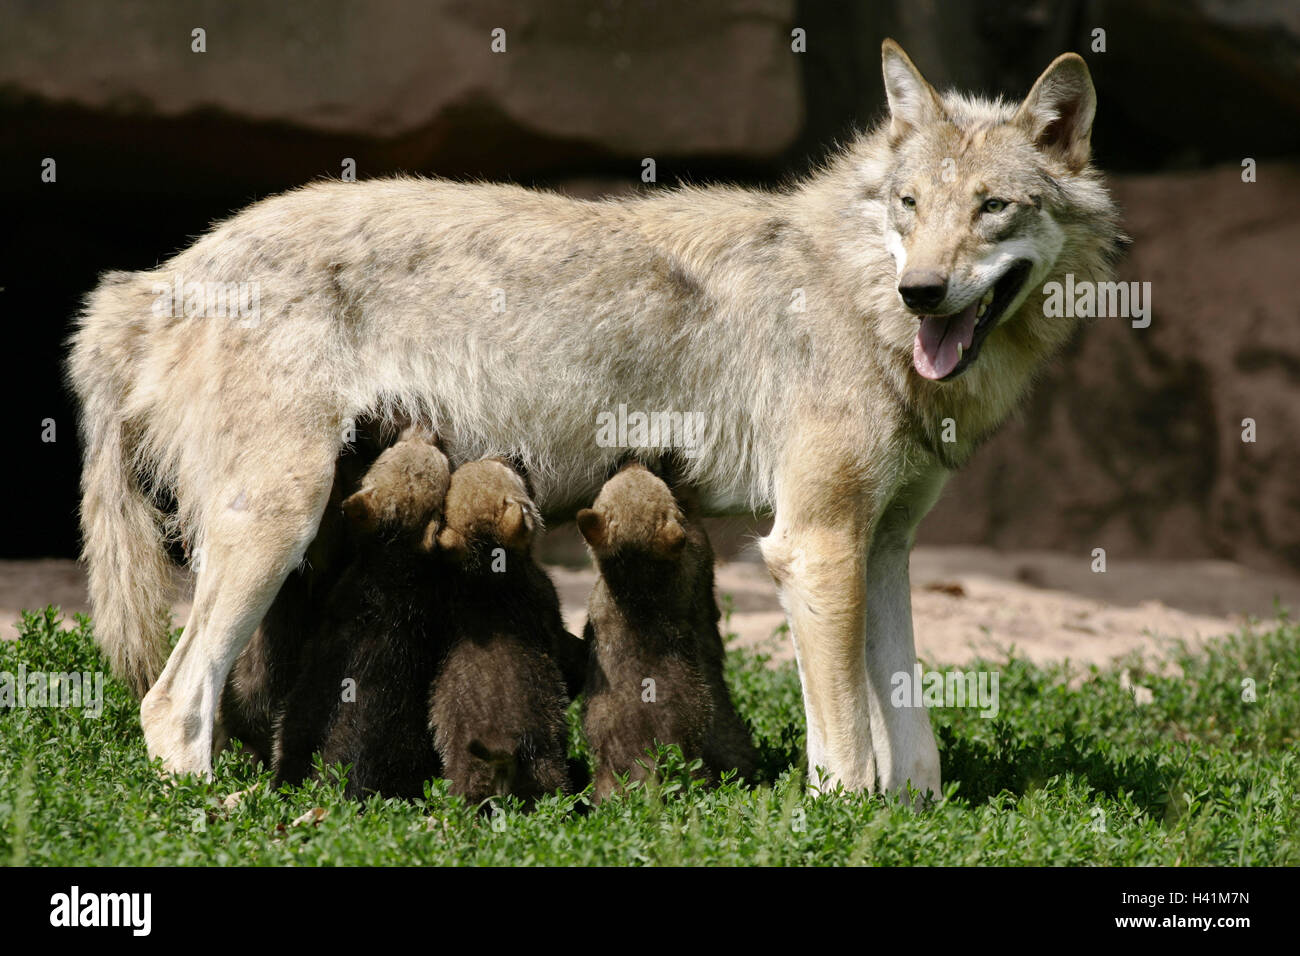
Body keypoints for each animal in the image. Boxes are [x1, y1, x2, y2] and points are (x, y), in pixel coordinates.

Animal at [68, 39, 1118, 790]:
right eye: (907, 204)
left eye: (992, 208)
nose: (923, 292)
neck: (856, 295)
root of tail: (159, 277)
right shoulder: (813, 545)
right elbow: (851, 756)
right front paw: (849, 826)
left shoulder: (887, 546)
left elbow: (914, 741)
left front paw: (914, 822)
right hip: (272, 529)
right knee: (170, 704)